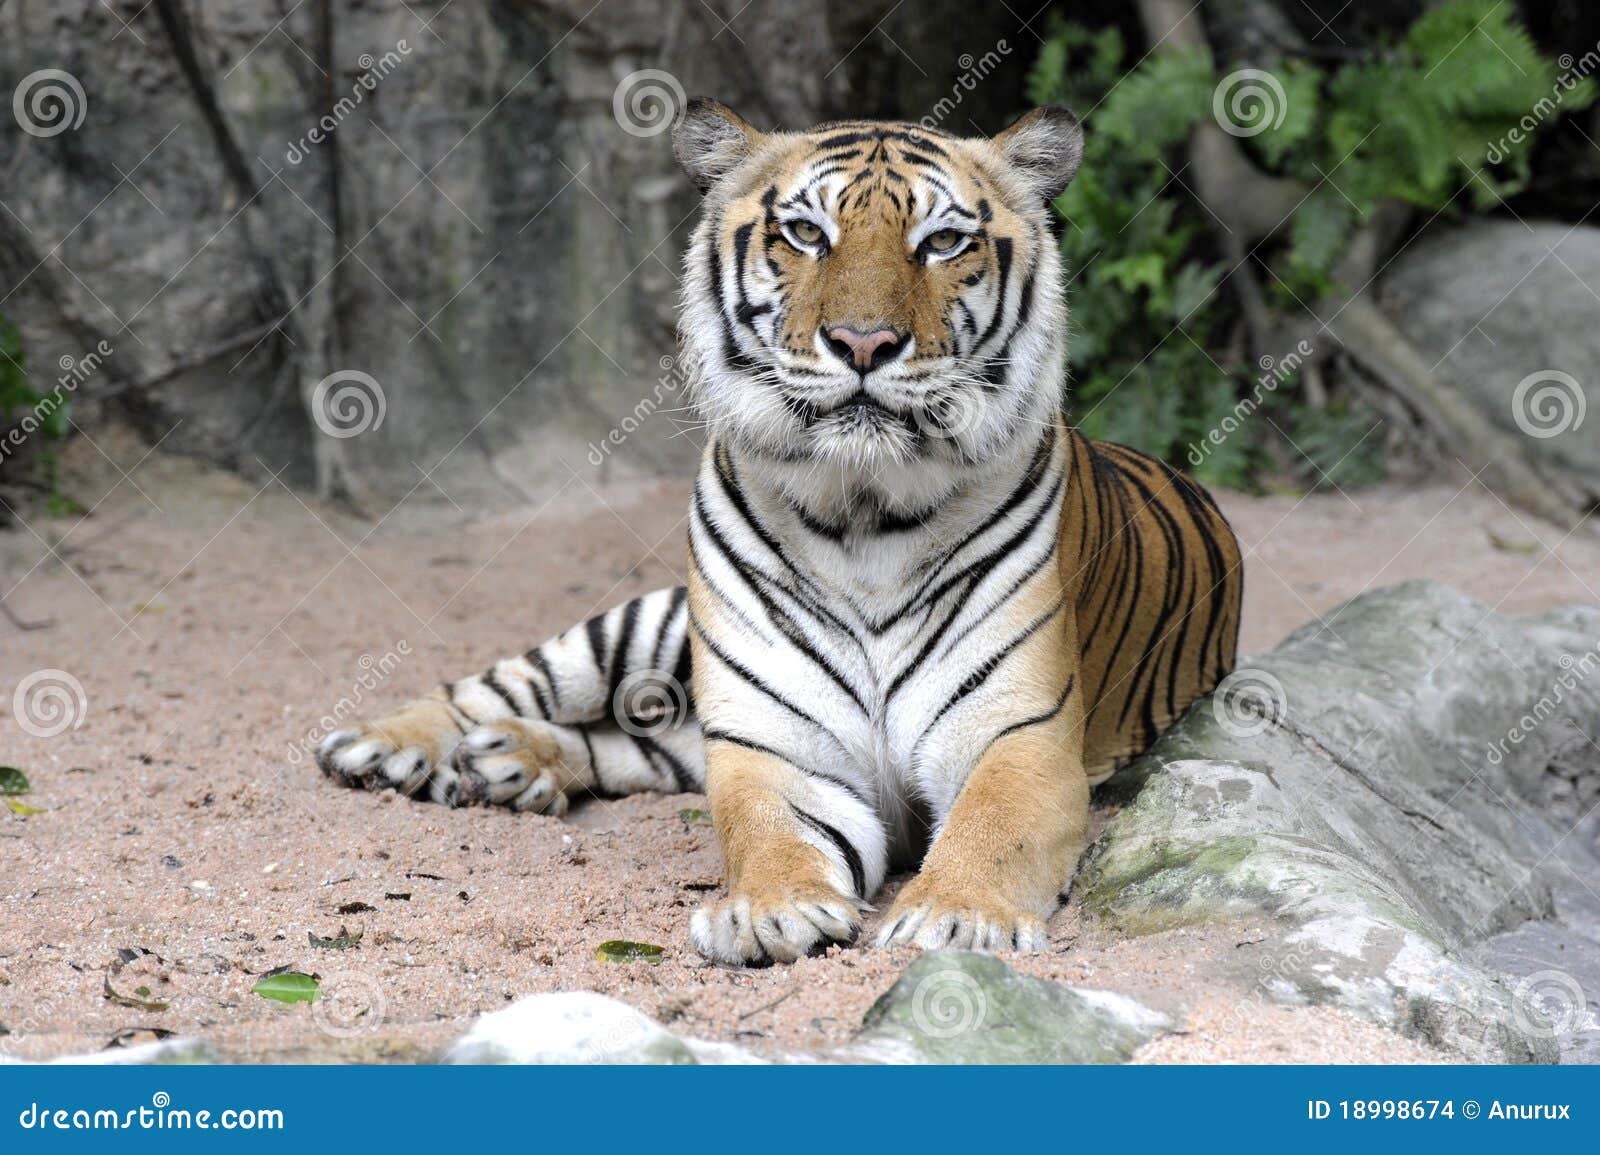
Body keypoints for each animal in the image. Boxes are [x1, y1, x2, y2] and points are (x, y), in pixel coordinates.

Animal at [314, 100, 1243, 966]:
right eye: (805, 233)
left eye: (943, 241)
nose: (864, 342)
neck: (867, 517)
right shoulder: (773, 745)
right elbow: (768, 830)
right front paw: (771, 910)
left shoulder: (1020, 737)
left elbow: (991, 828)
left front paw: (954, 914)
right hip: (645, 629)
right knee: (509, 683)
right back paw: (389, 745)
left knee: (642, 748)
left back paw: (509, 762)